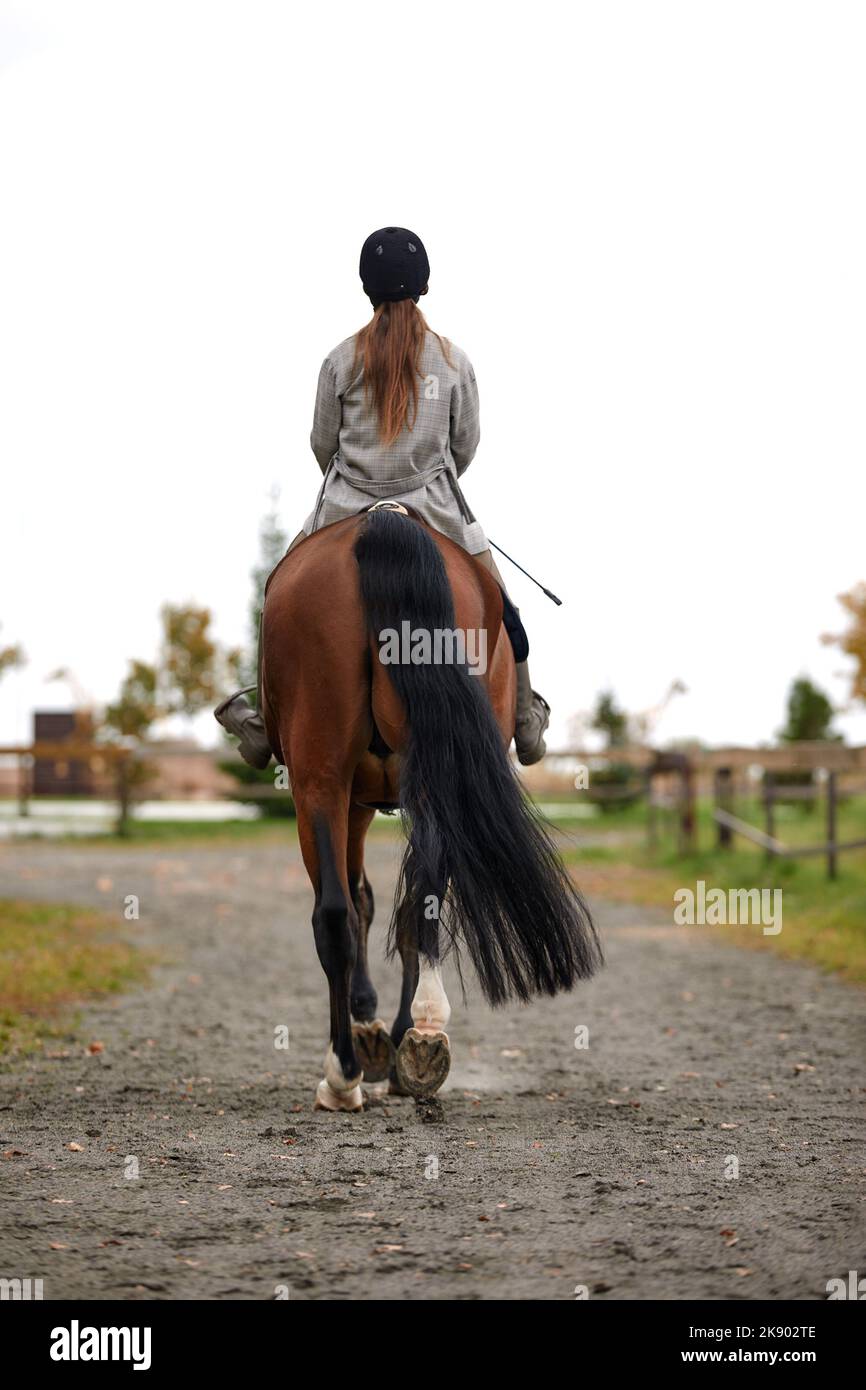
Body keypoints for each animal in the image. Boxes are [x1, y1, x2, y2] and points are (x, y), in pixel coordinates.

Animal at [261, 505, 601, 1112]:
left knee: (342, 913)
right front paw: (387, 1036)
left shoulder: (353, 800)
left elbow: (362, 902)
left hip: (321, 781)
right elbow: (386, 906)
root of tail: (383, 524)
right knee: (405, 906)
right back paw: (420, 1038)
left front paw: (370, 1032)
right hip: (388, 779)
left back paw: (348, 1069)